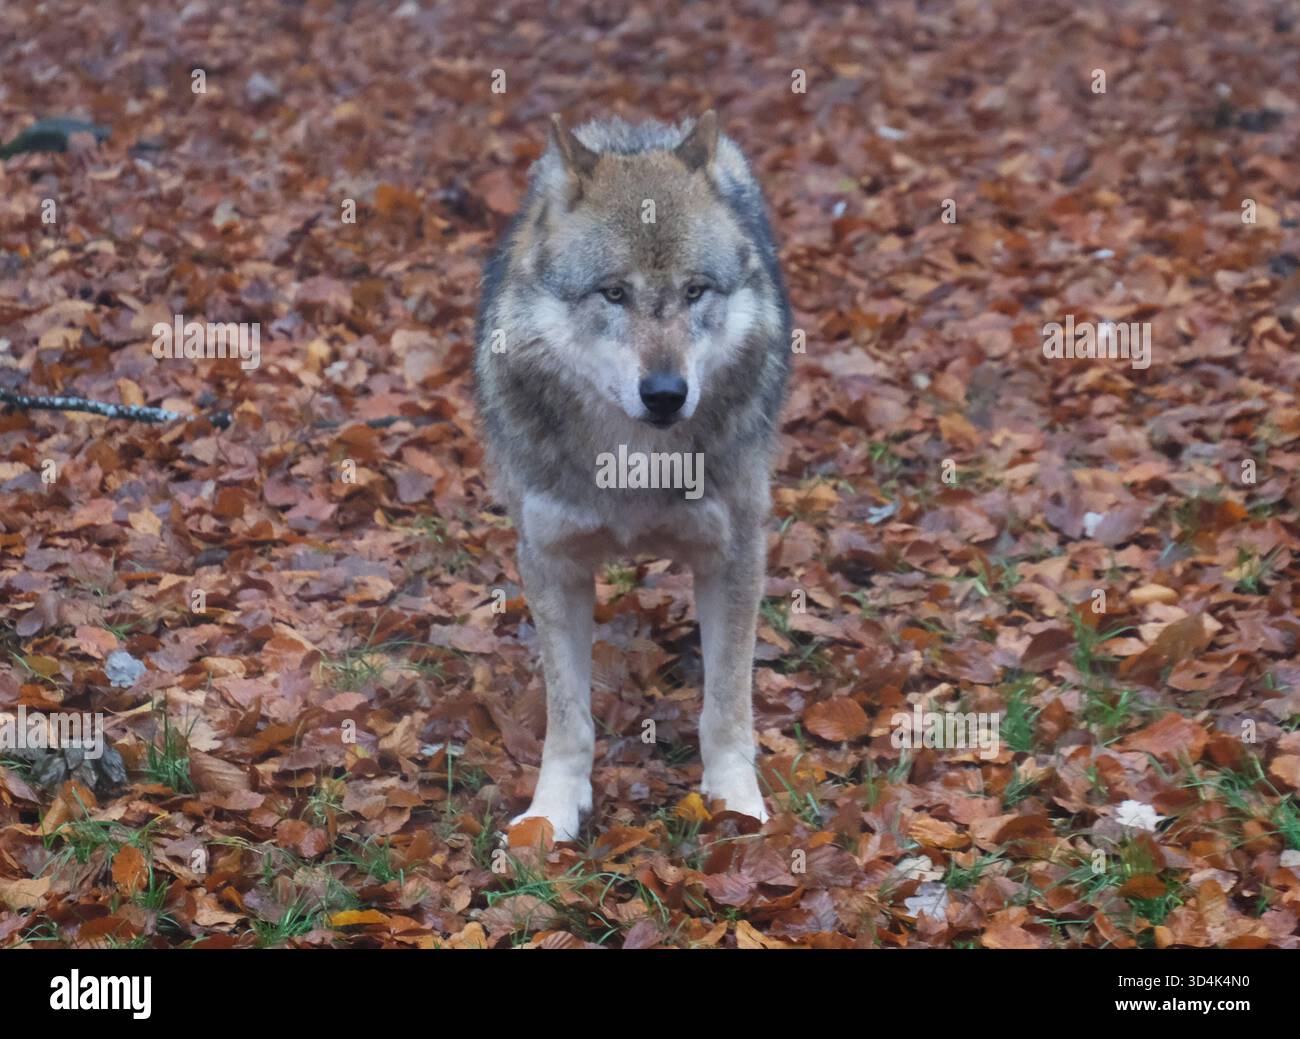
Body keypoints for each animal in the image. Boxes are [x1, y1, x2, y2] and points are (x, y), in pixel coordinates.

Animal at [474, 111, 792, 840]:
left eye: (694, 291)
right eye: (614, 293)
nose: (667, 393)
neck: (633, 462)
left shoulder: (735, 555)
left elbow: (726, 704)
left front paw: (737, 802)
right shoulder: (551, 561)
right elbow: (569, 720)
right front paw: (551, 815)